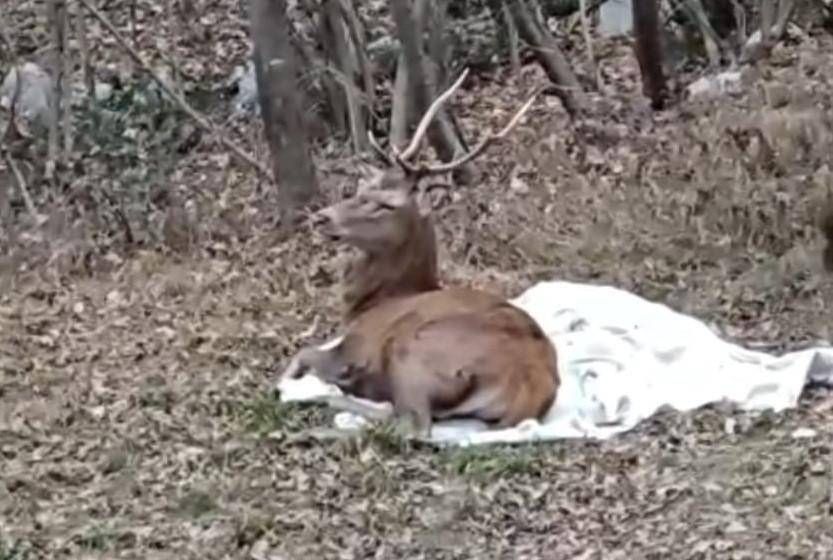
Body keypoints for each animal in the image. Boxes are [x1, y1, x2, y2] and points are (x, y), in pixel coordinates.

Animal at [278, 69, 560, 438]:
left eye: (386, 204)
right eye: (362, 188)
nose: (322, 217)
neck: (371, 302)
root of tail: (529, 389)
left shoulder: (353, 344)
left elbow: (303, 352)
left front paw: (287, 384)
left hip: (412, 350)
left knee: (411, 424)